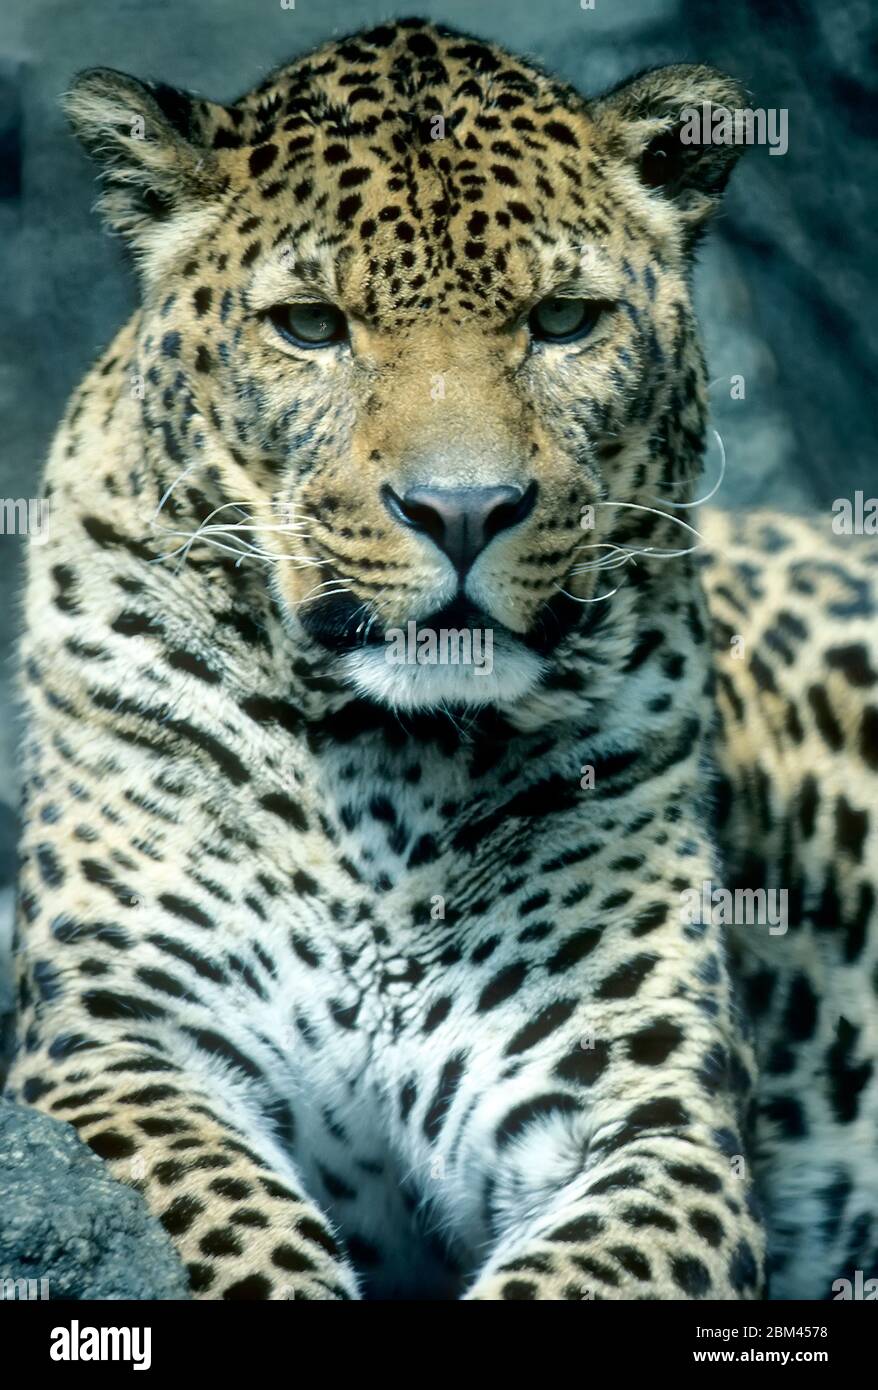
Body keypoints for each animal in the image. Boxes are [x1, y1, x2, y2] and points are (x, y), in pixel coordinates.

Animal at [5, 17, 877, 1301]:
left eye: (562, 320)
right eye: (310, 326)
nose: (462, 511)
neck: (385, 770)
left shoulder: (646, 1119)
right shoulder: (119, 1050)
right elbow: (241, 1241)